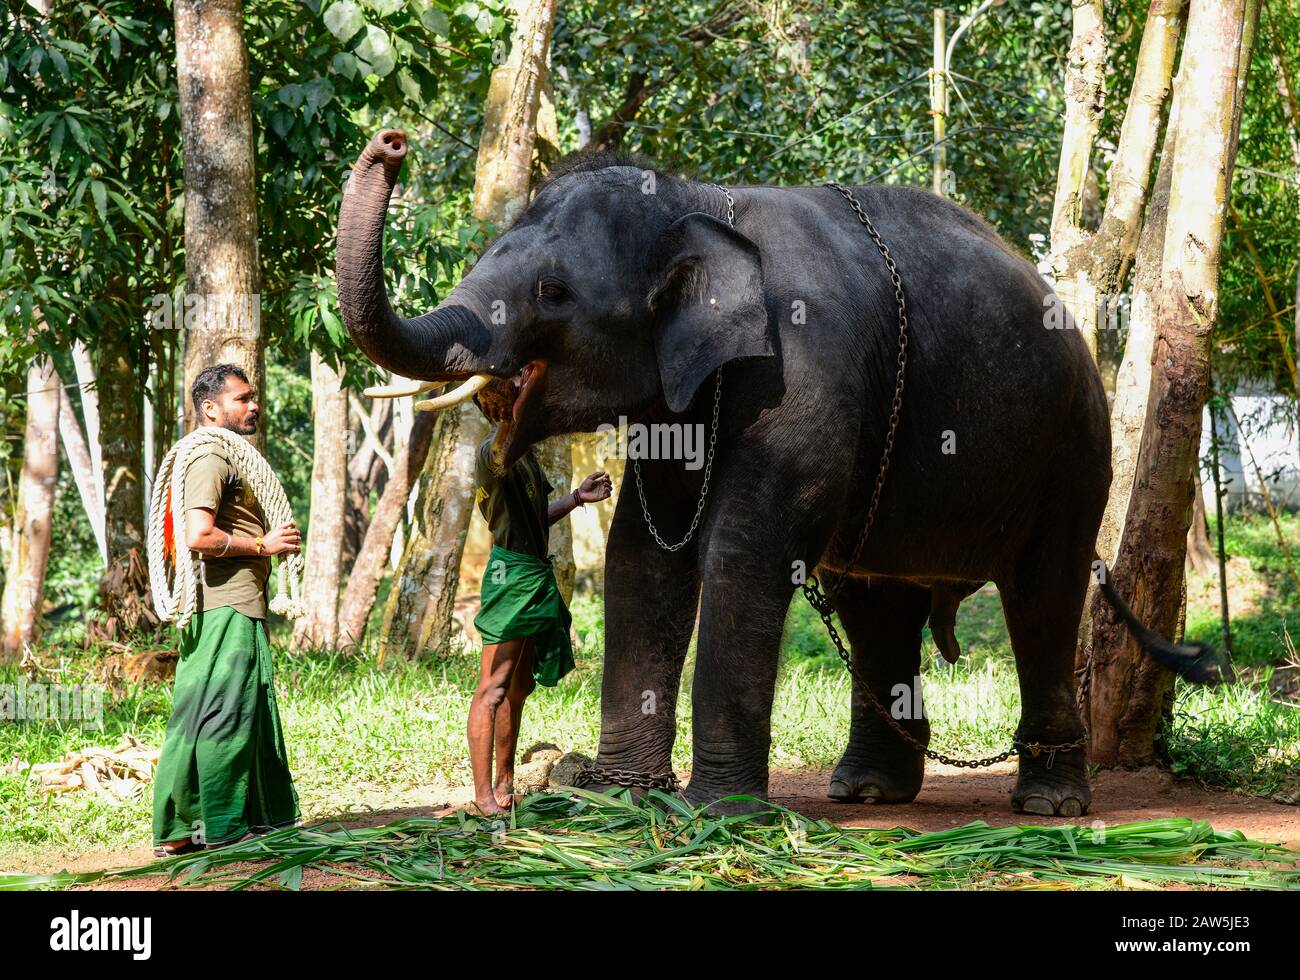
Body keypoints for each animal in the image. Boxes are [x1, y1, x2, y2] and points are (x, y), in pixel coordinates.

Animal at [336, 129, 1225, 818]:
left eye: (553, 292)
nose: (390, 144)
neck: (702, 200)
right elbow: (642, 556)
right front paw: (621, 799)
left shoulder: (803, 375)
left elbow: (743, 550)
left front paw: (716, 815)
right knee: (874, 602)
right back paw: (866, 791)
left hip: (1074, 447)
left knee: (1042, 594)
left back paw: (1049, 803)